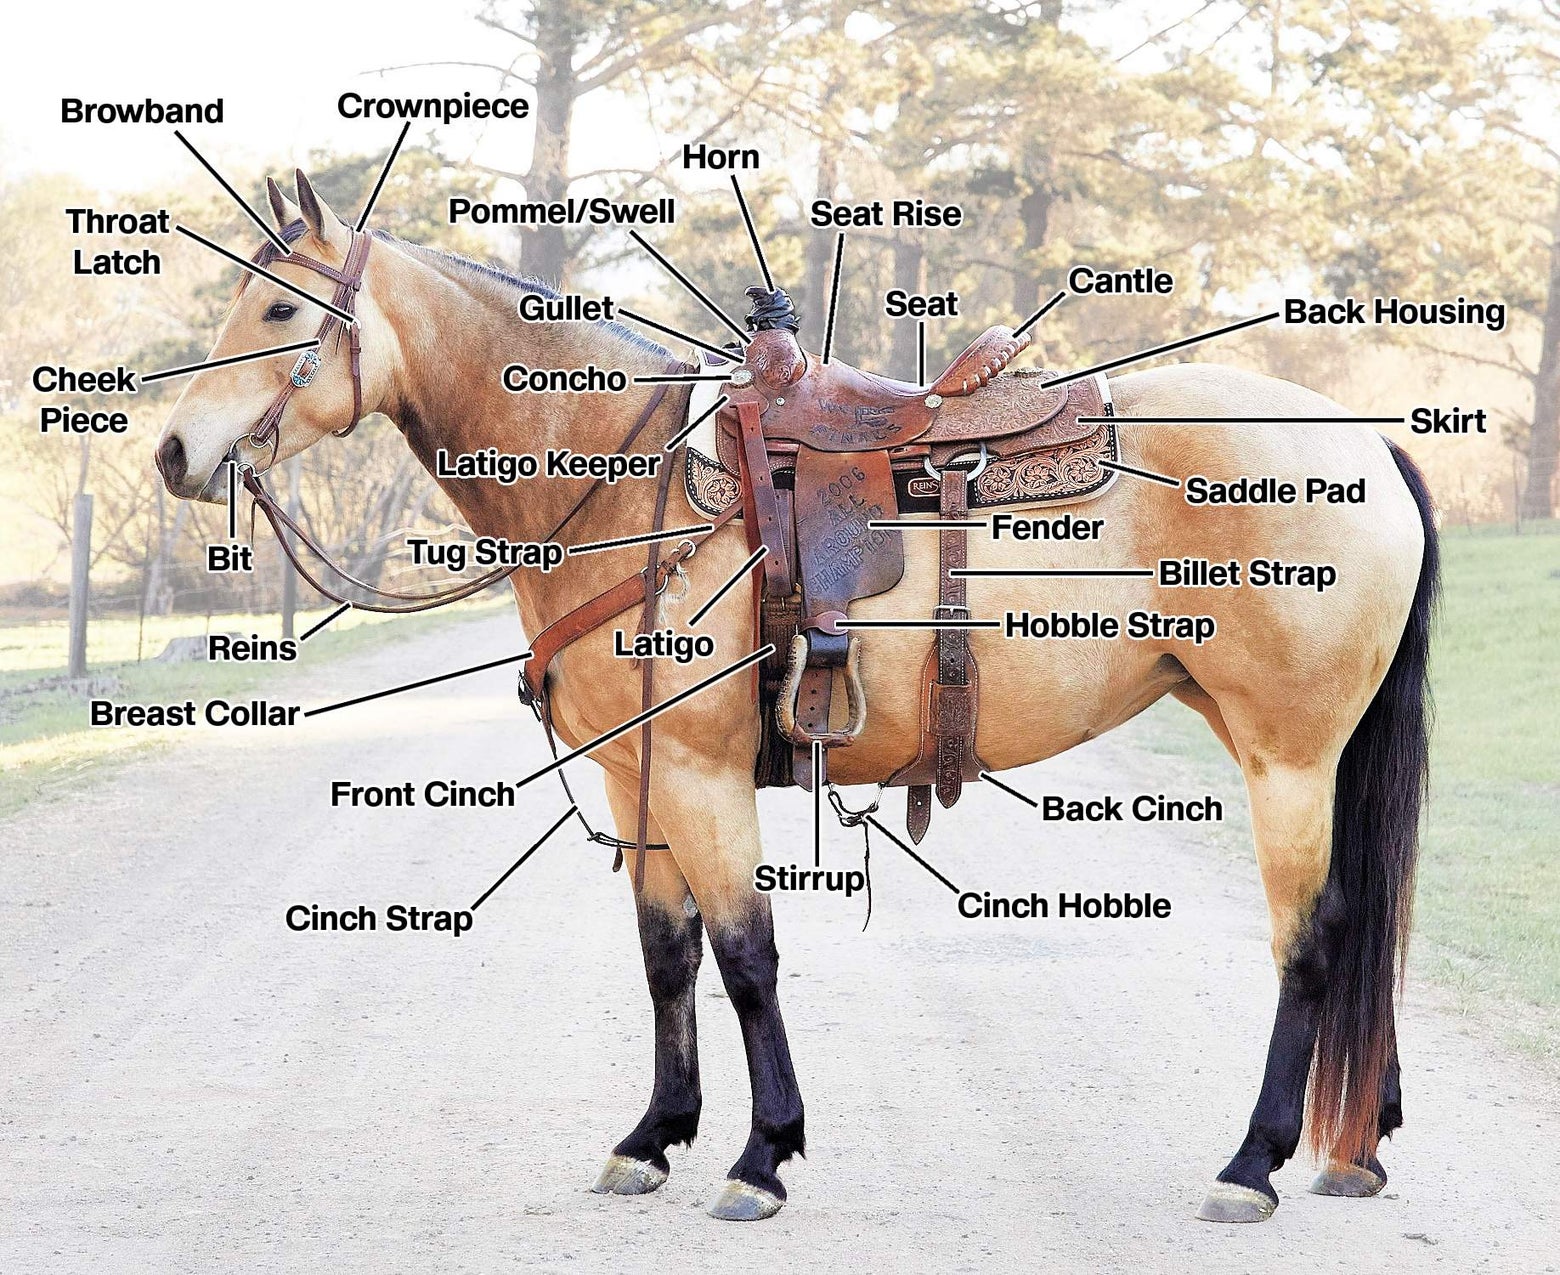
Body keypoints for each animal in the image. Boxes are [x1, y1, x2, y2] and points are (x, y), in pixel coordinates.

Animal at [154, 171, 1436, 1224]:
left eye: (279, 312)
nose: (173, 452)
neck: (628, 487)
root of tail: (1364, 444)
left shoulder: (707, 775)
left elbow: (745, 956)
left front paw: (760, 1155)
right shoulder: (640, 779)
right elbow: (666, 956)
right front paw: (653, 1138)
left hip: (1287, 754)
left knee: (1315, 937)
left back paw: (1253, 1163)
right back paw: (1356, 1149)